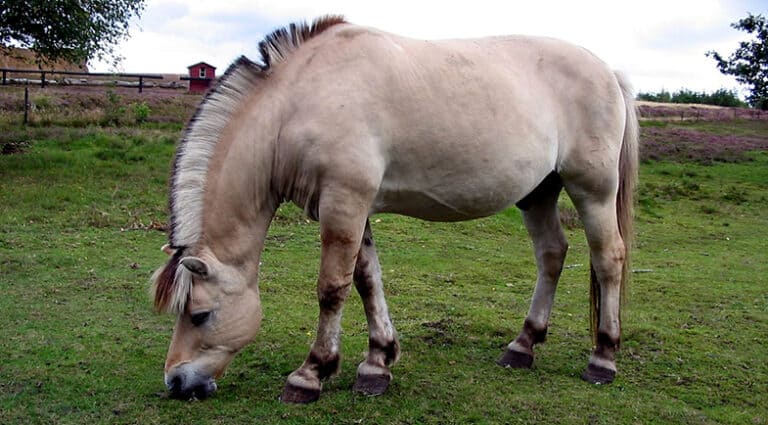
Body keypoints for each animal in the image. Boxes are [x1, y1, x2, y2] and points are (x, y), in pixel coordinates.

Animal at [151, 15, 638, 403]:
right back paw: (523, 345)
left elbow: (332, 288)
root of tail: (609, 71)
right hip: (538, 192)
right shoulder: (354, 208)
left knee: (609, 258)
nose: (176, 382)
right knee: (552, 254)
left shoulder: (343, 203)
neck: (298, 103)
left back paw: (603, 357)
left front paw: (311, 373)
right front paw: (377, 362)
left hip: (592, 189)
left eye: (200, 314)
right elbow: (367, 281)